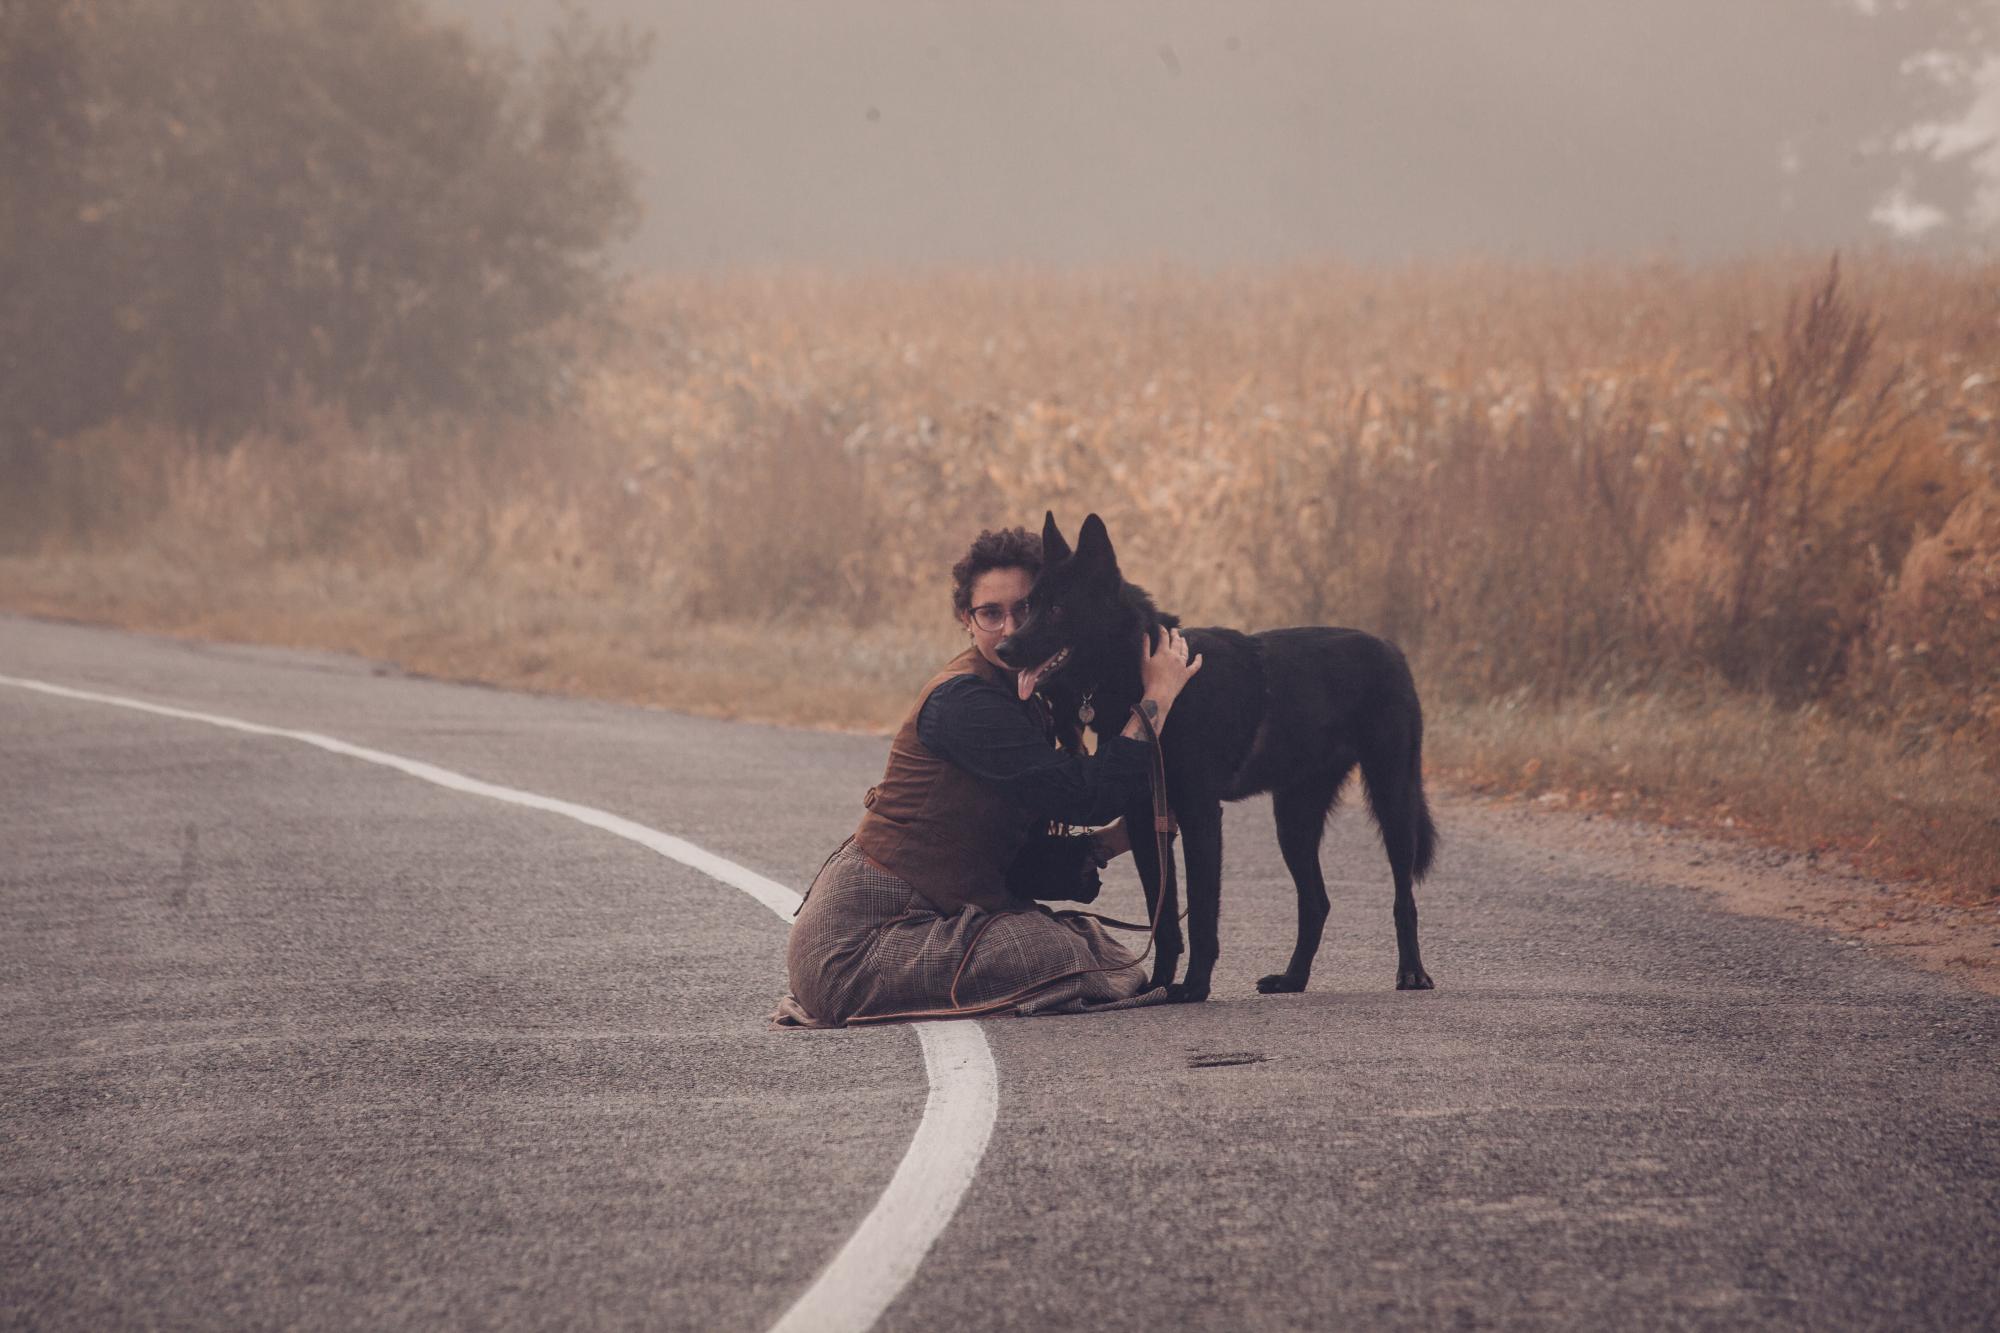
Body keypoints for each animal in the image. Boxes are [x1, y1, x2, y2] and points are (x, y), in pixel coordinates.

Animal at [1000, 508, 1440, 996]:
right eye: (1028, 606)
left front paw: (1193, 988)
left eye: (1057, 608)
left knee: (1403, 897)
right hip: (1294, 821)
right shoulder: (1145, 820)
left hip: (1392, 801)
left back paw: (1412, 972)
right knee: (1316, 901)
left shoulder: (1200, 815)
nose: (1003, 649)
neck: (1139, 675)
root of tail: (1391, 649)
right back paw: (1293, 978)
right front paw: (1158, 986)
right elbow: (1163, 915)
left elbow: (1201, 914)